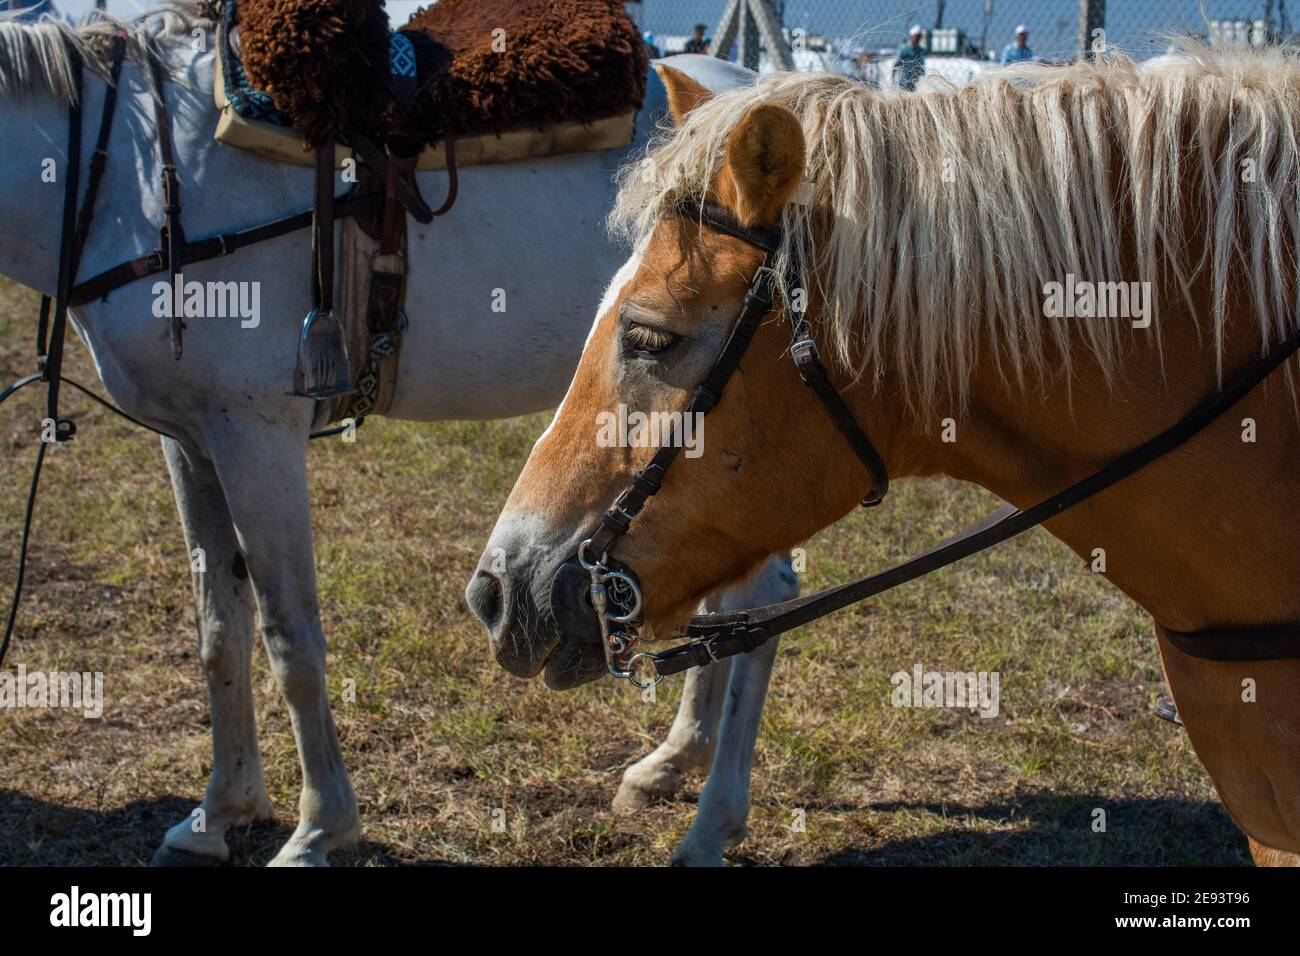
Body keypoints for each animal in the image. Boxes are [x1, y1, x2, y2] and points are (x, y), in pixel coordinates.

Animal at [0, 4, 789, 866]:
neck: (139, 171)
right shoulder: (190, 440)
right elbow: (220, 631)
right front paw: (219, 812)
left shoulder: (255, 434)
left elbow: (291, 640)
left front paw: (320, 827)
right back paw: (673, 762)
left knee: (769, 596)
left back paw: (711, 822)